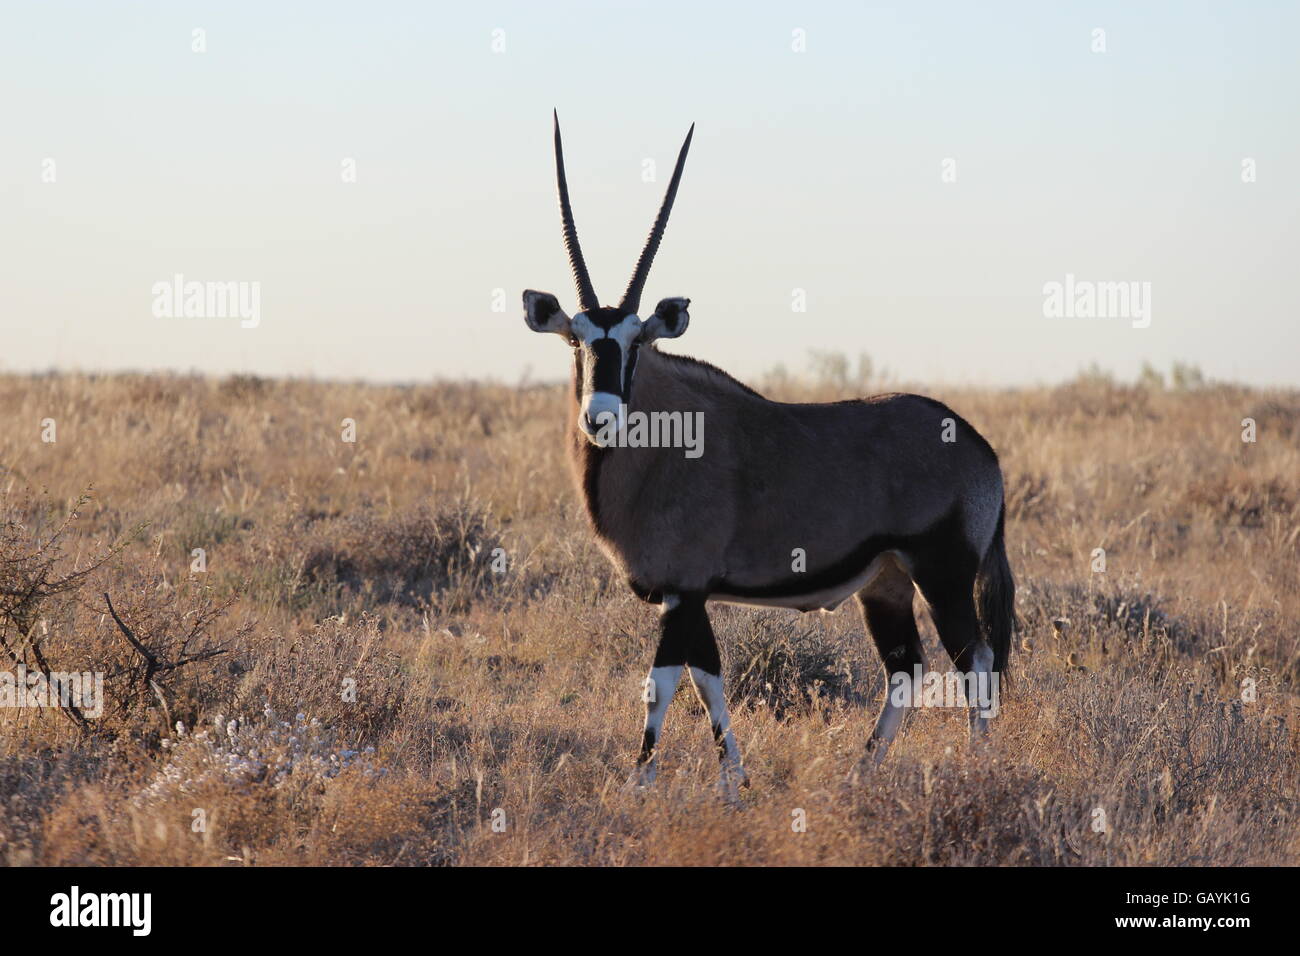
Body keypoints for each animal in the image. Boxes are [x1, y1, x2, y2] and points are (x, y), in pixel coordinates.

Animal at [523, 113, 1015, 801]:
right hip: (887, 581)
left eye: (635, 342)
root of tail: (976, 443)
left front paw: (639, 785)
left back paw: (977, 769)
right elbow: (707, 683)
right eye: (576, 340)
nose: (601, 415)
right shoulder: (689, 597)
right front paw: (735, 783)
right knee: (906, 668)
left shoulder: (684, 590)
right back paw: (859, 773)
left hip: (941, 572)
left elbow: (662, 686)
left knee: (977, 661)